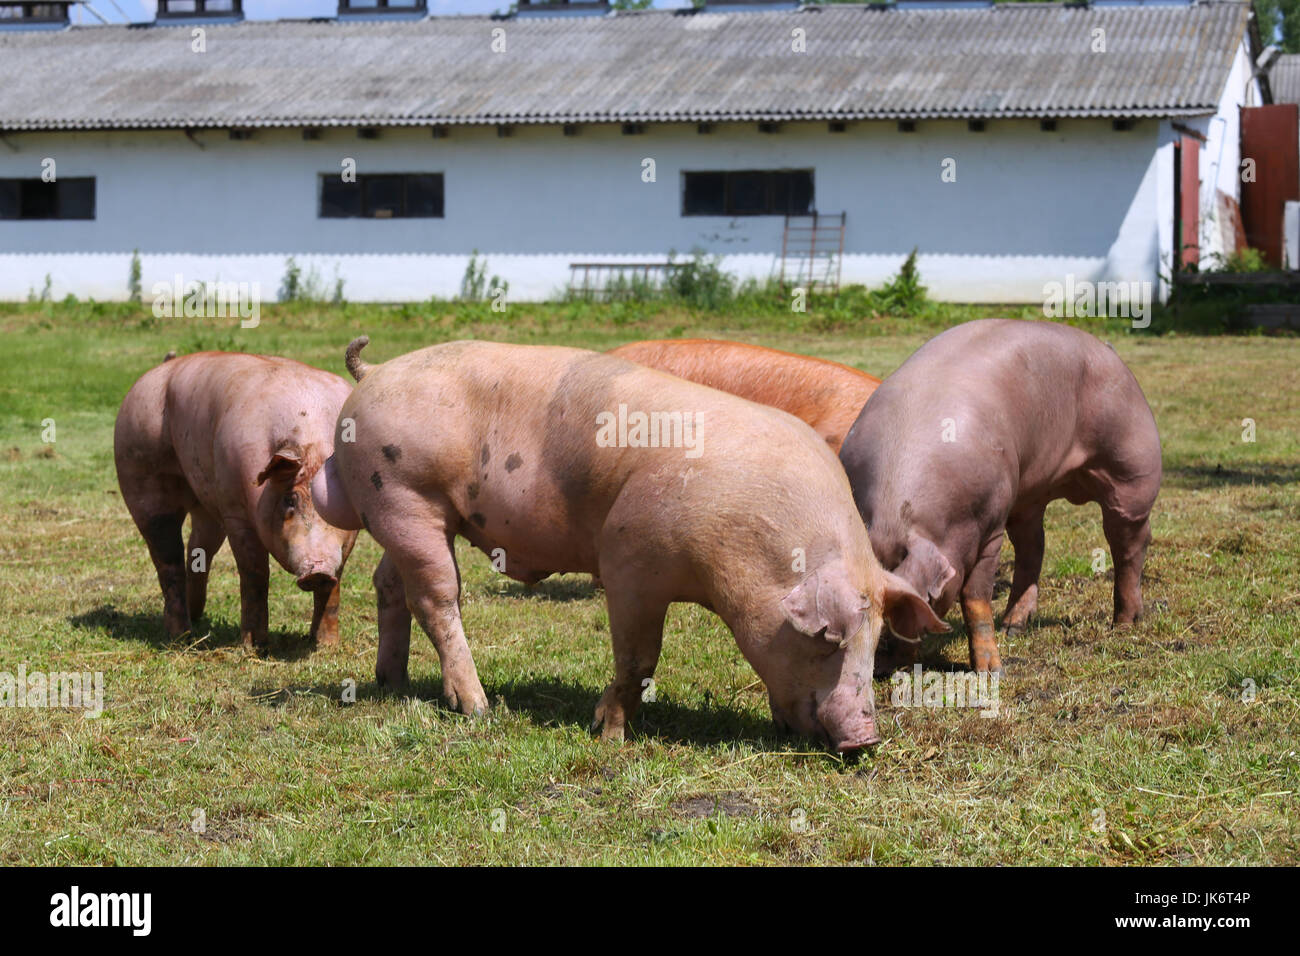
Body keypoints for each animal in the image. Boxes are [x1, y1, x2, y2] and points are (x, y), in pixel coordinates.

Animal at [114, 351, 358, 652]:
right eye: (289, 500)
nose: (318, 570)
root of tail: (165, 365)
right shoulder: (235, 511)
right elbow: (254, 573)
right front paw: (255, 648)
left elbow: (335, 582)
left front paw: (326, 646)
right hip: (140, 471)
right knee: (167, 557)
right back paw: (182, 638)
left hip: (206, 503)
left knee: (198, 549)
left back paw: (198, 616)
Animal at [838, 319, 1162, 675]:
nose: (877, 666)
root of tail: (1109, 351)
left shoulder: (990, 524)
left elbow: (975, 597)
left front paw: (991, 671)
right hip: (1028, 496)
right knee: (1033, 547)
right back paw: (1013, 627)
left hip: (1132, 469)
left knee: (1130, 543)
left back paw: (1124, 624)